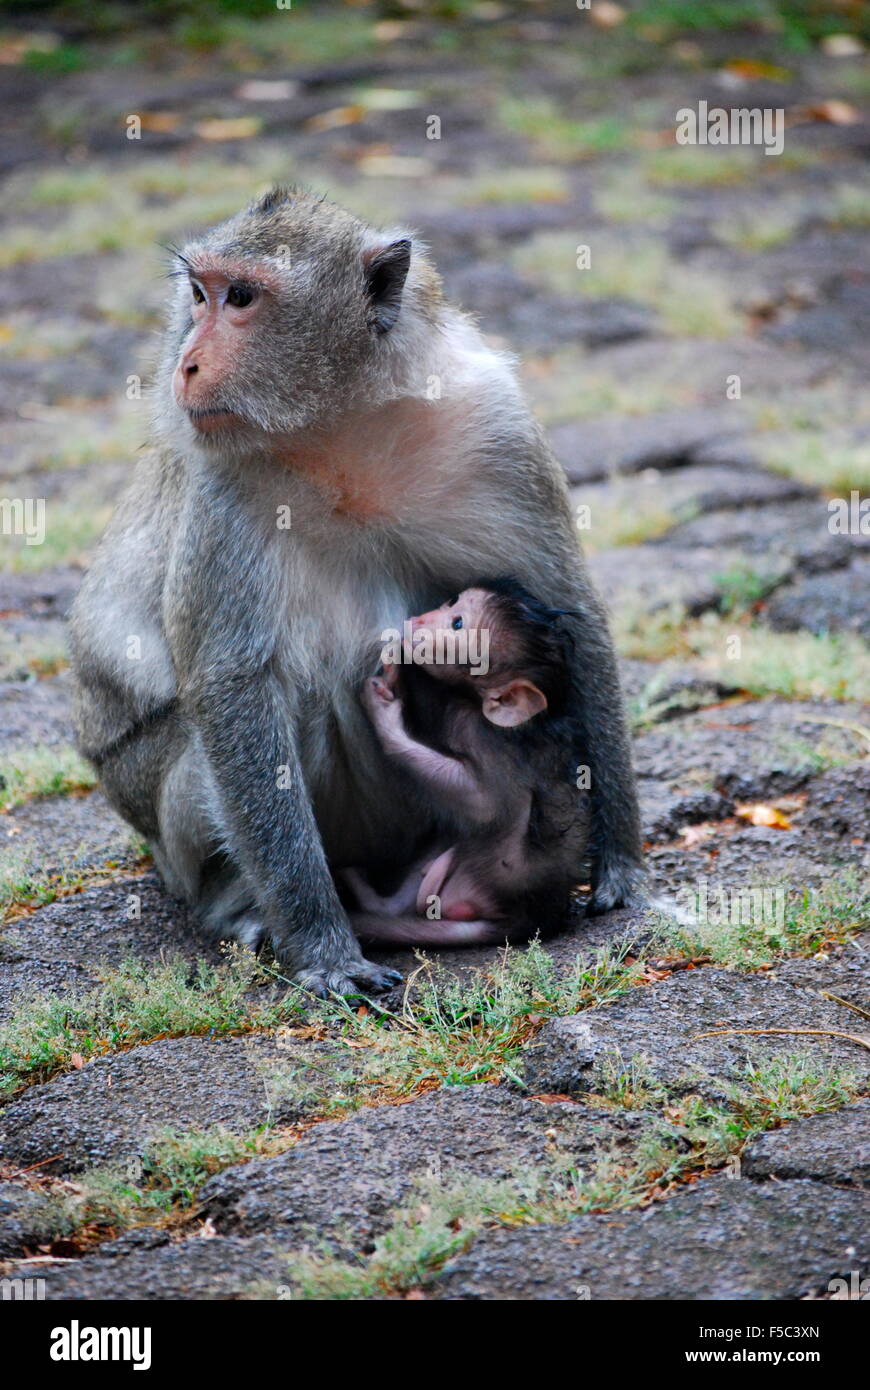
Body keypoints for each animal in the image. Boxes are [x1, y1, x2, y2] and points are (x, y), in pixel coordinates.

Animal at [343, 579, 590, 946]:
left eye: (458, 624)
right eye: (451, 603)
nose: (419, 619)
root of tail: (530, 916)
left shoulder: (483, 737)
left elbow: (484, 804)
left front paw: (384, 711)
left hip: (462, 886)